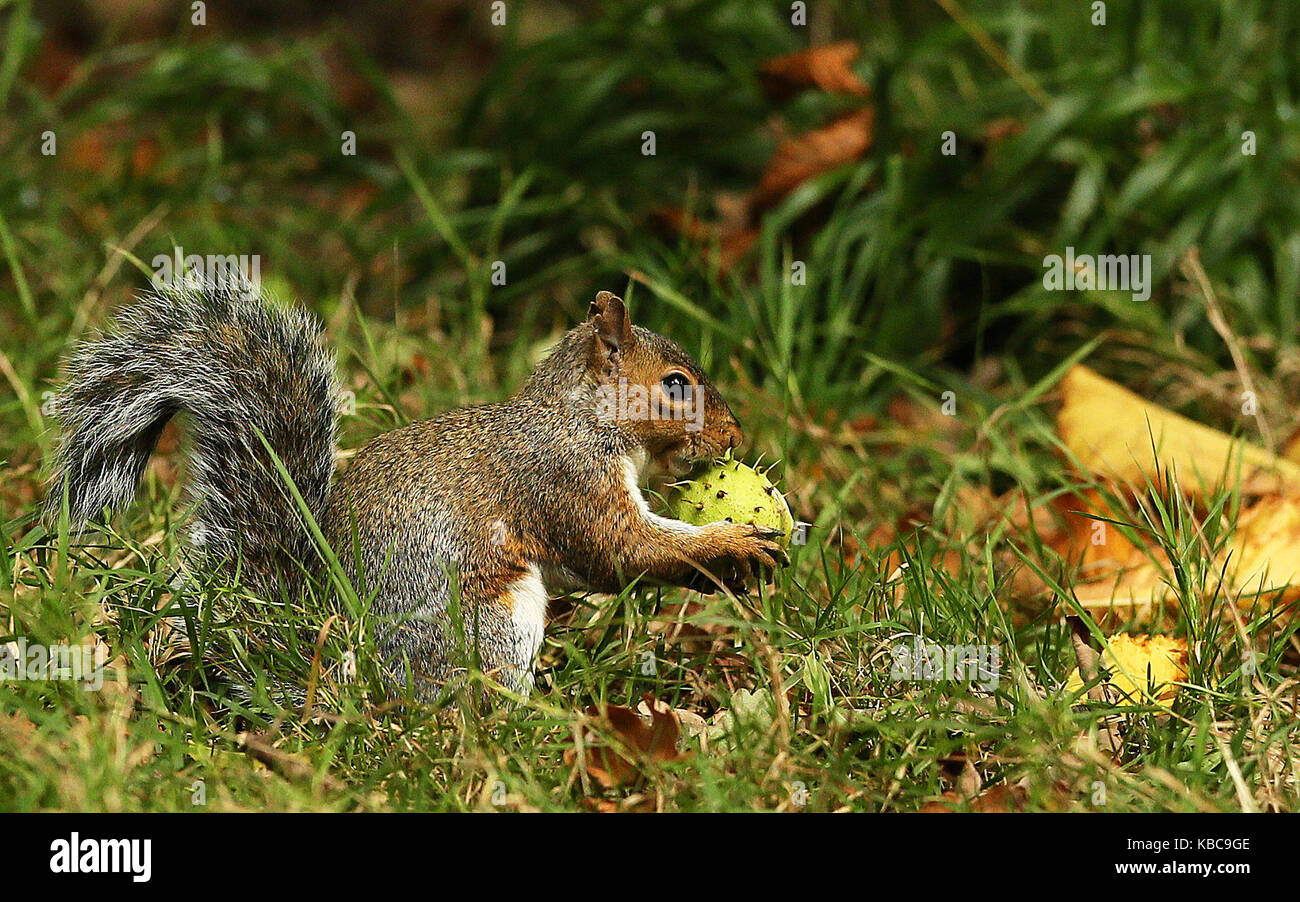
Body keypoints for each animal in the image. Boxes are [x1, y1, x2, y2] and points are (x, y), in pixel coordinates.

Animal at [43, 282, 788, 699]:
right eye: (675, 385)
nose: (734, 434)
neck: (577, 417)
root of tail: (339, 677)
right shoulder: (567, 481)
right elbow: (625, 550)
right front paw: (733, 544)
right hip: (490, 624)